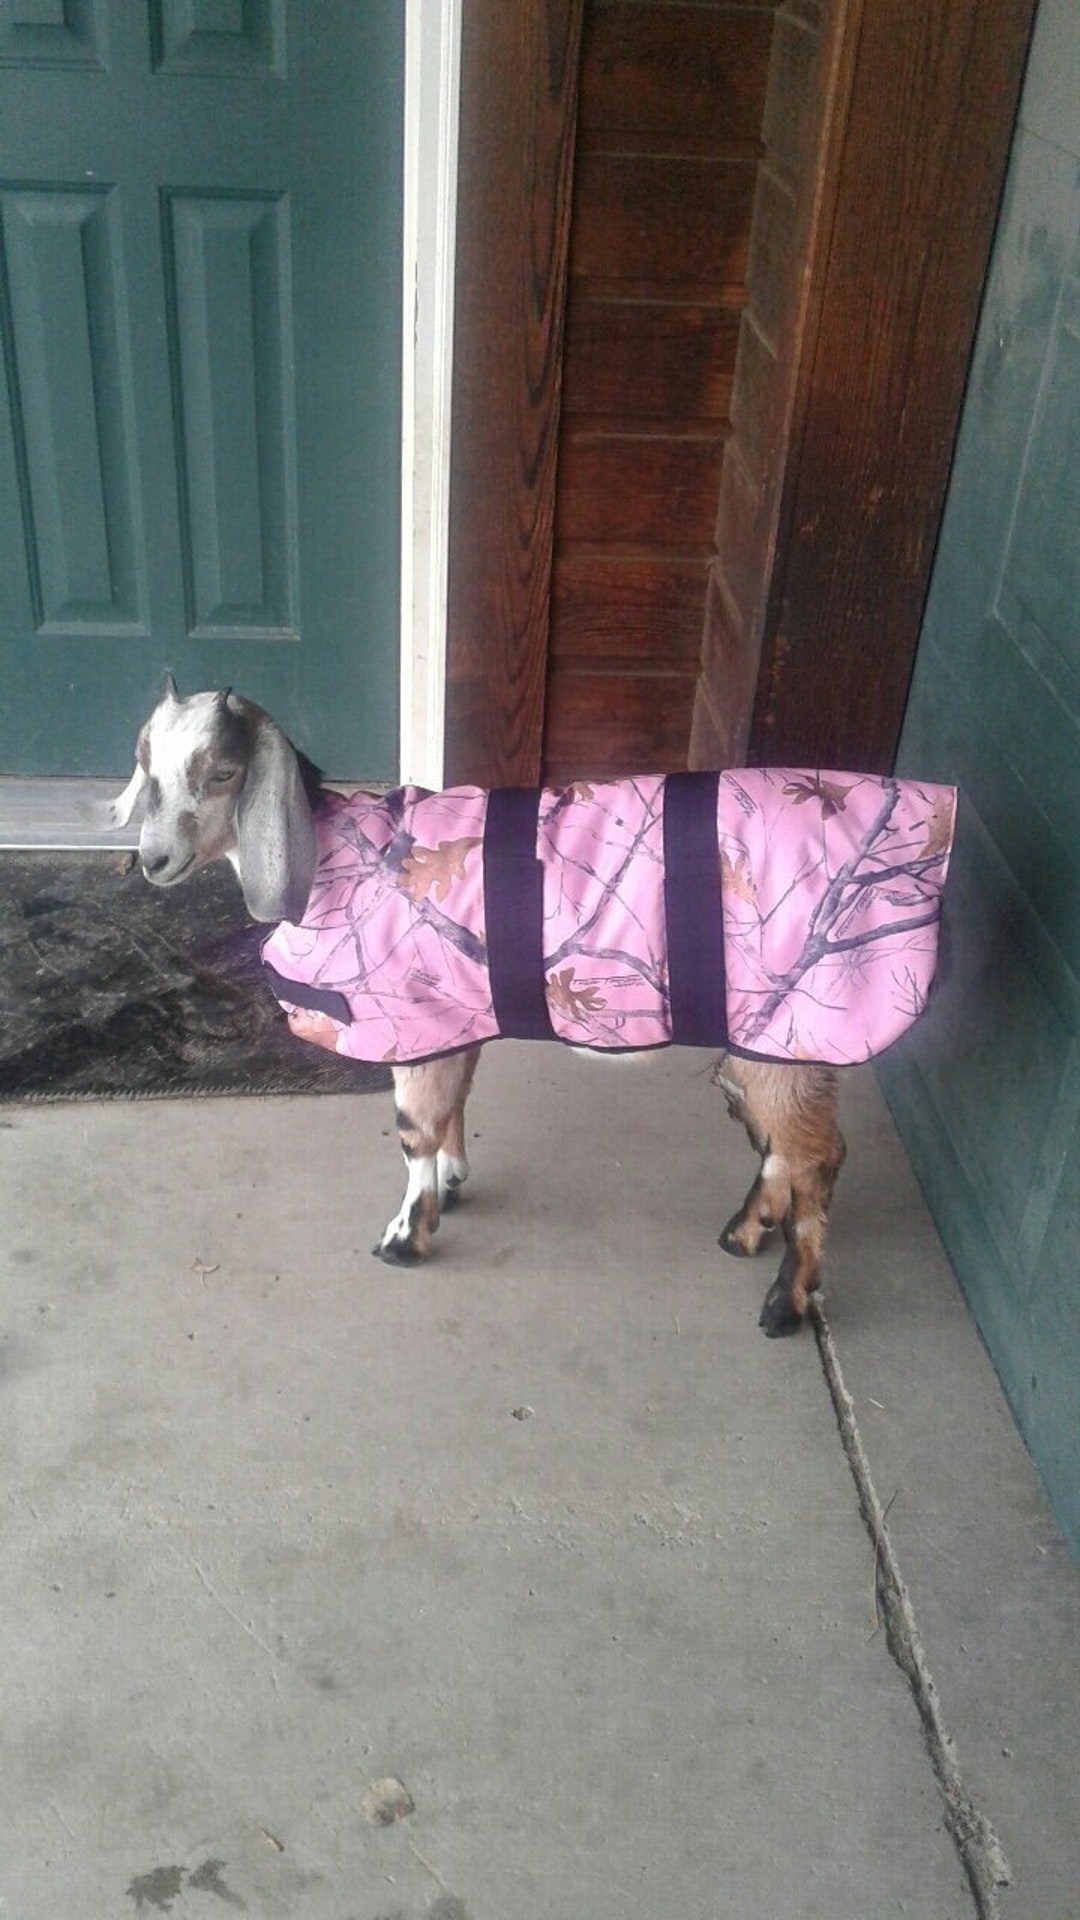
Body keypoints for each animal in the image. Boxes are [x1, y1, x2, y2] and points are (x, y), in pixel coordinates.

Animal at [110, 680, 954, 1335]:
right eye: (146, 765)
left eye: (222, 772)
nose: (152, 860)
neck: (331, 851)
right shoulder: (450, 1014)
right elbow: (454, 1101)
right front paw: (453, 1183)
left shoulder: (409, 1016)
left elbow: (412, 1130)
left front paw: (405, 1237)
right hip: (775, 1039)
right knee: (783, 1144)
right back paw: (744, 1235)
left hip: (798, 1028)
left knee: (817, 1160)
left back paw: (786, 1303)